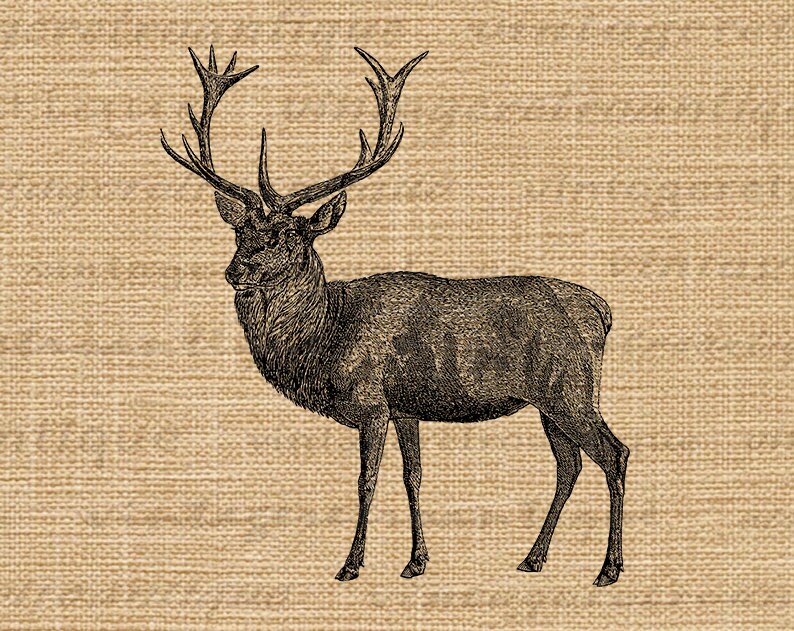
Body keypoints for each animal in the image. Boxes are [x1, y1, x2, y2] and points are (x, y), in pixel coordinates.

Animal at [161, 46, 630, 587]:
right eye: (240, 233)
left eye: (290, 236)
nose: (235, 271)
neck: (326, 336)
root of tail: (602, 311)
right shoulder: (406, 407)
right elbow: (414, 476)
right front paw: (416, 561)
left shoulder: (372, 403)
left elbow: (367, 480)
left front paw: (351, 564)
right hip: (552, 402)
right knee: (569, 465)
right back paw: (533, 557)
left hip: (570, 389)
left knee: (614, 454)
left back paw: (609, 568)